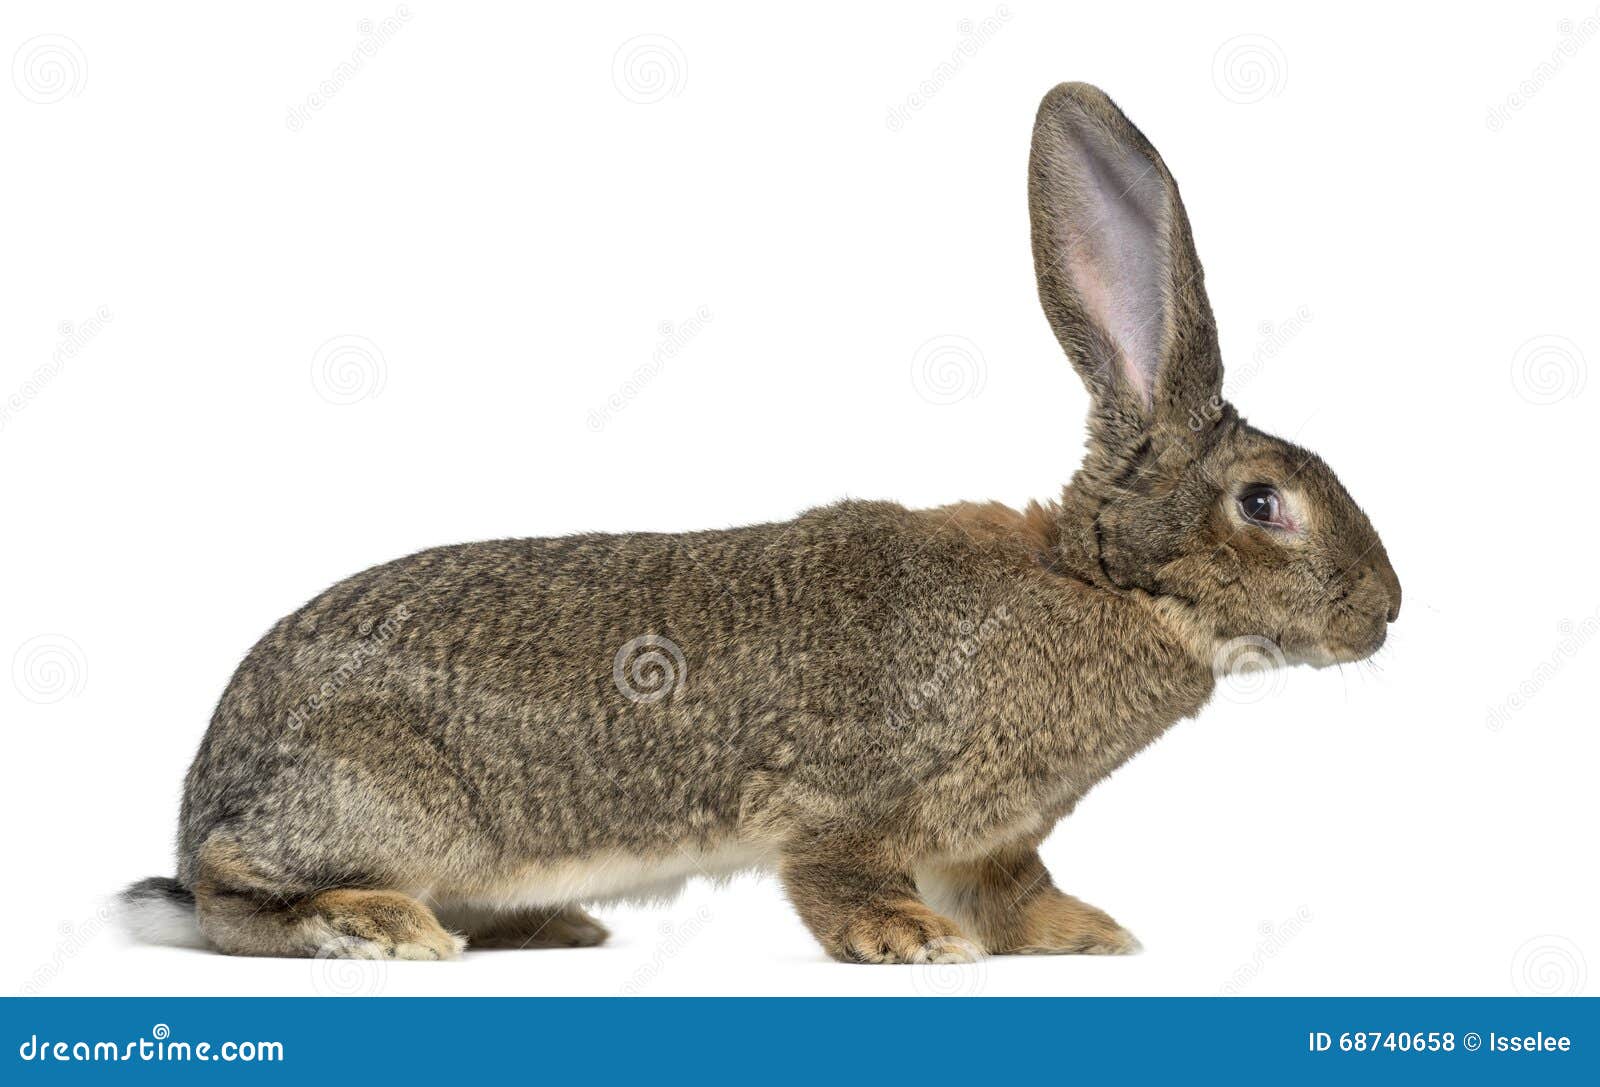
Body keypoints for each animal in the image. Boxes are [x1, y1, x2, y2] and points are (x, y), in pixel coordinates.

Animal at [117, 82, 1399, 964]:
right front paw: (911, 945)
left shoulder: (991, 838)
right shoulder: (851, 799)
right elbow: (842, 878)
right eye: (1263, 502)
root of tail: (204, 794)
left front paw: (1089, 935)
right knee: (232, 898)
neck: (1100, 581)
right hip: (384, 804)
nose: (1385, 612)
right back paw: (378, 927)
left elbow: (1017, 891)